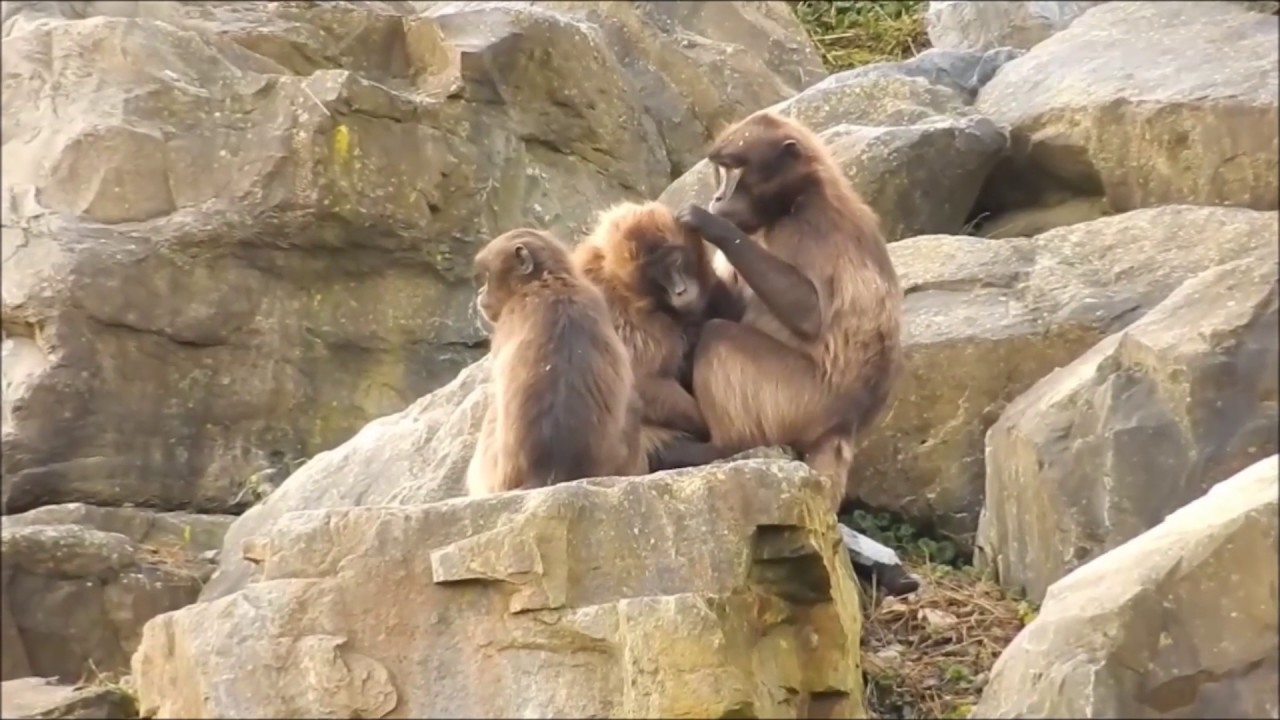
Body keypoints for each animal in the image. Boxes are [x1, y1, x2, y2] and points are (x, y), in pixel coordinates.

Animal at [673, 109, 905, 513]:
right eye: (721, 170)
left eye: (735, 170)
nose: (716, 197)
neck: (794, 198)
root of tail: (843, 425)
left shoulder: (809, 221)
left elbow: (809, 313)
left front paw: (708, 223)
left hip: (798, 399)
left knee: (719, 337)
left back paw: (720, 447)